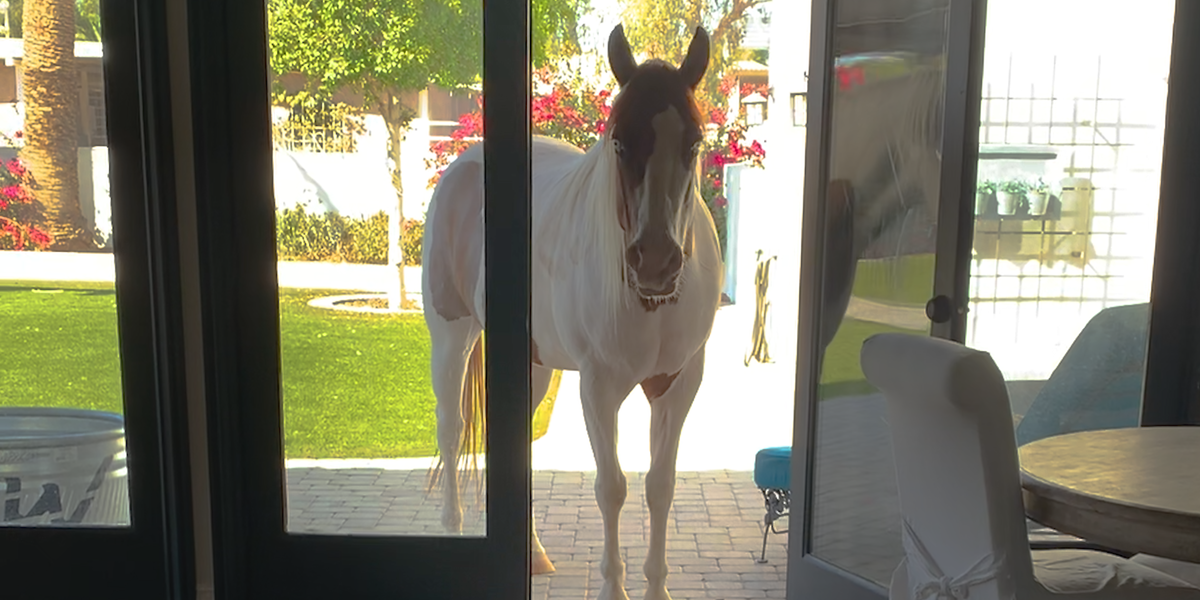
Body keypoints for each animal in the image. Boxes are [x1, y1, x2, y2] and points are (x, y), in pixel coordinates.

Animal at [422, 23, 721, 600]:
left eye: (694, 142)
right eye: (619, 141)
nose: (655, 261)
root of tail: (464, 166)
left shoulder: (679, 382)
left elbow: (660, 486)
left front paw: (656, 587)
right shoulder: (598, 387)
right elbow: (612, 488)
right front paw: (613, 587)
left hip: (535, 364)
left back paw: (533, 552)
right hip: (451, 336)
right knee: (450, 426)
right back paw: (451, 525)